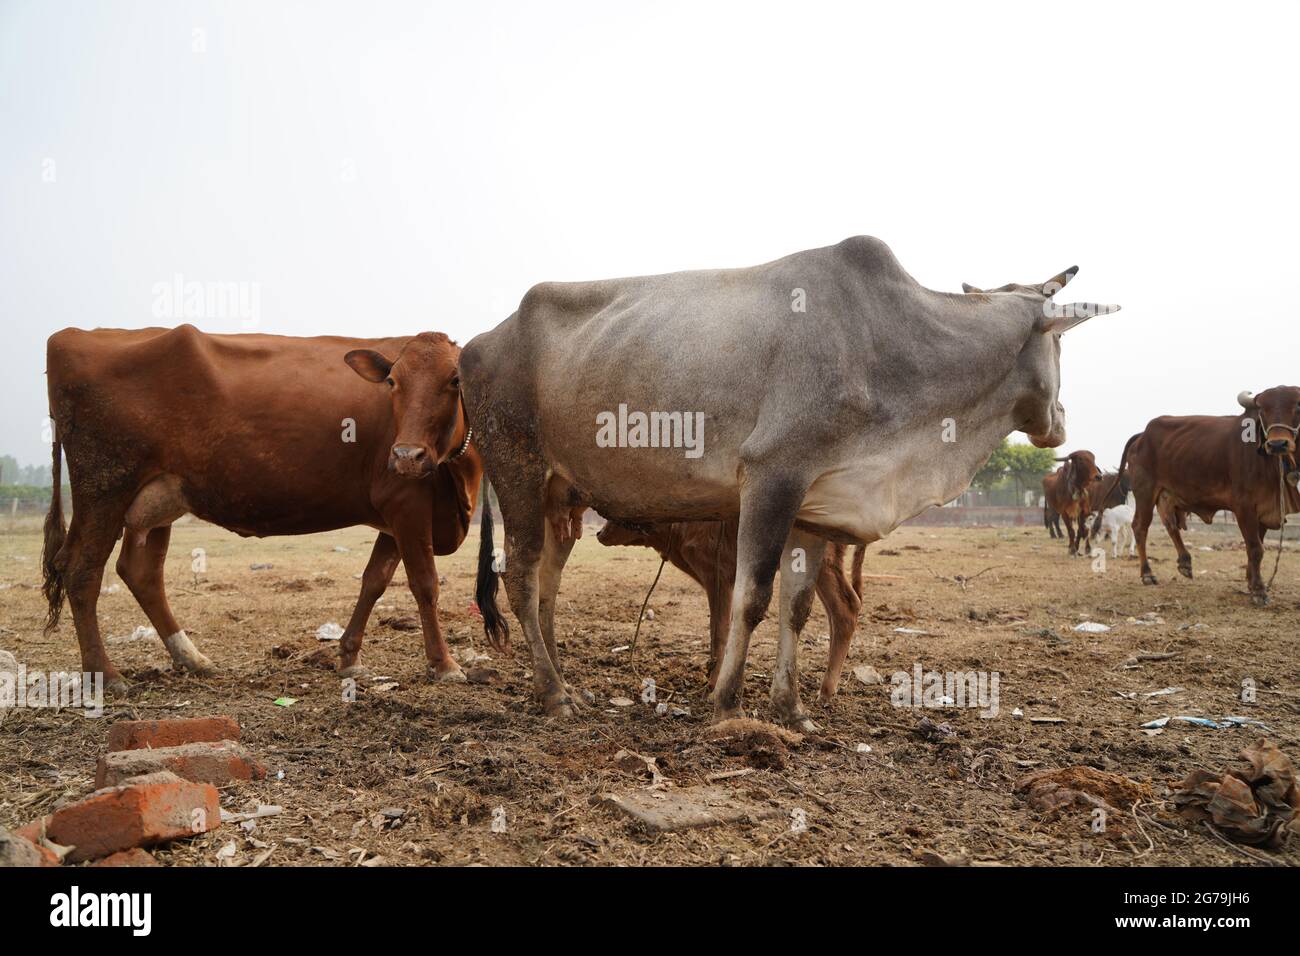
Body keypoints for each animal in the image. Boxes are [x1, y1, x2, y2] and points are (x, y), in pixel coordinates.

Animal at [41, 326, 480, 695]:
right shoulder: (406, 501)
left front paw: (349, 657)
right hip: (104, 489)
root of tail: (70, 335)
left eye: (455, 380)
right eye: (392, 382)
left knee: (141, 573)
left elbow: (374, 580)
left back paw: (191, 658)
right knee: (81, 570)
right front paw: (444, 664)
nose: (406, 455)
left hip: (156, 500)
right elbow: (424, 584)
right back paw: (106, 674)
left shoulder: (393, 515)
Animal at [597, 519, 865, 703]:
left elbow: (719, 631)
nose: (600, 533)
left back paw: (825, 692)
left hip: (823, 560)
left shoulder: (719, 575)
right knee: (843, 609)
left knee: (846, 608)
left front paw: (713, 687)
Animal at [1114, 386, 1300, 605]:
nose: (1278, 444)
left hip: (1166, 494)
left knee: (1170, 525)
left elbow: (1256, 547)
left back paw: (1185, 563)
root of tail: (1142, 435)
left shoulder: (1263, 509)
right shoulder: (1244, 507)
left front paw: (1250, 582)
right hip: (1145, 491)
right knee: (1140, 527)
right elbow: (1255, 548)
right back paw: (1147, 574)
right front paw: (1258, 590)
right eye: (1262, 409)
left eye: (1298, 406)